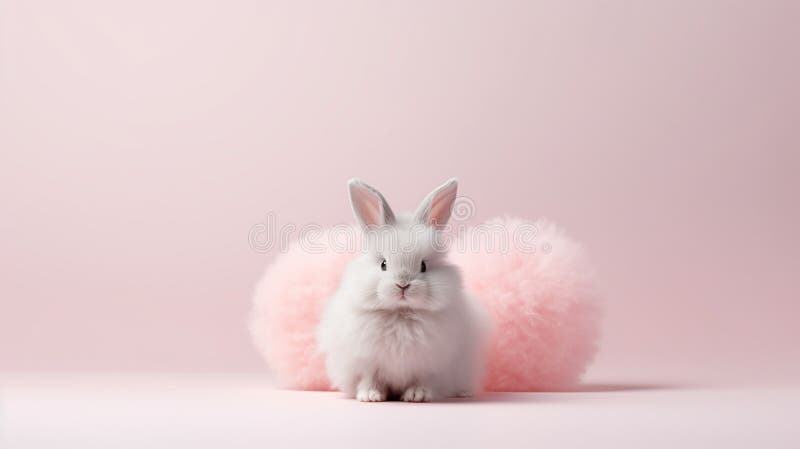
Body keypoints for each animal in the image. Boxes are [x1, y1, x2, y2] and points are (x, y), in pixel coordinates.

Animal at [317, 178, 488, 402]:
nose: (403, 284)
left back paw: (463, 393)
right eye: (383, 264)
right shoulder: (366, 361)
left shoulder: (429, 364)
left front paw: (418, 395)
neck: (400, 313)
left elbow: (421, 379)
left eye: (423, 266)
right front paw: (370, 396)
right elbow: (370, 378)